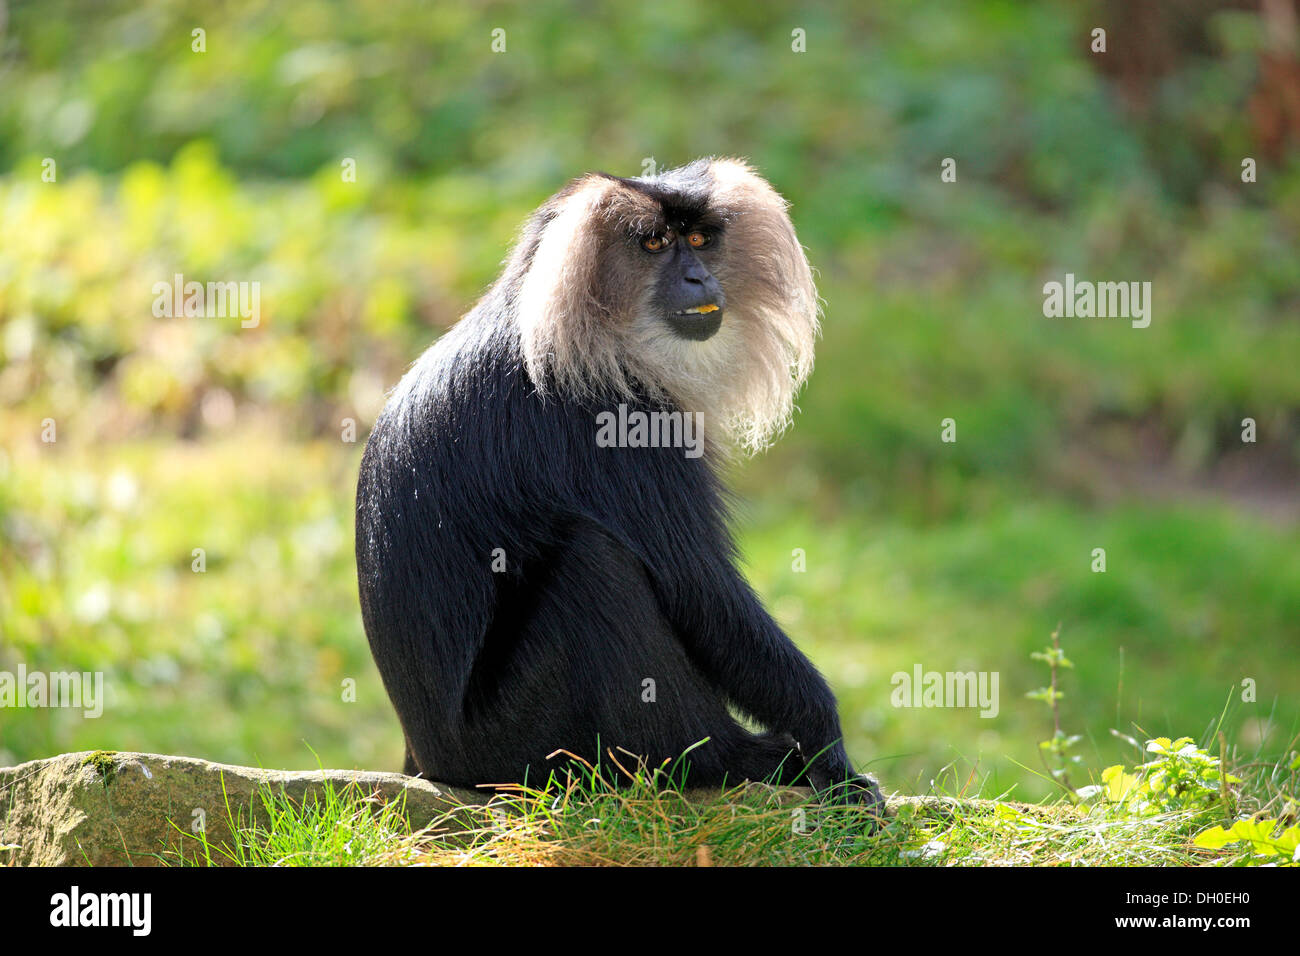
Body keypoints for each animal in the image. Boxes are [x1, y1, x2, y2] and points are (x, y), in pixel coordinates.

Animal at [355, 158, 881, 808]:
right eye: (654, 244)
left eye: (699, 240)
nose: (698, 277)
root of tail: (431, 762)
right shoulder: (619, 420)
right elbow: (699, 589)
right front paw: (828, 746)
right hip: (515, 745)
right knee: (593, 564)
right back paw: (736, 759)